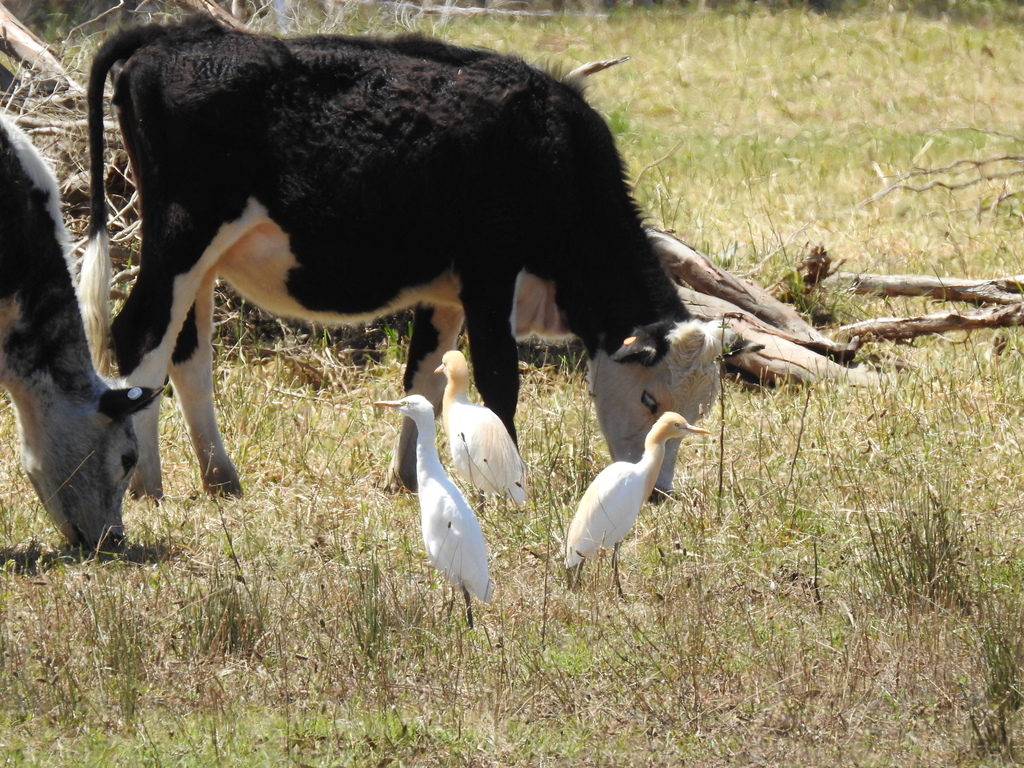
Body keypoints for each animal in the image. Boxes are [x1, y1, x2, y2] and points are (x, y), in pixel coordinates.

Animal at [82, 17, 747, 501]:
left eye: (700, 408)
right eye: (650, 400)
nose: (656, 493)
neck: (551, 151)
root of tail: (176, 33)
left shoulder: (443, 291)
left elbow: (424, 378)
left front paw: (411, 477)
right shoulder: (488, 275)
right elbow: (499, 381)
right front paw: (507, 480)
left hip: (201, 262)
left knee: (187, 358)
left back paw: (219, 478)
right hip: (182, 238)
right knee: (138, 338)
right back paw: (145, 485)